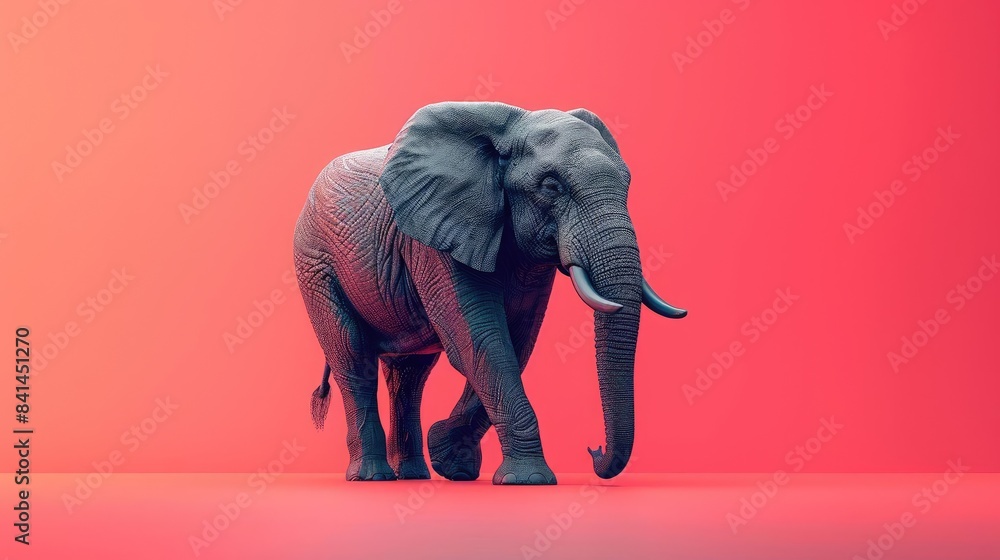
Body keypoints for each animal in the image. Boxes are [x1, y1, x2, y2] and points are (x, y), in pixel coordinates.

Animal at [293, 101, 686, 485]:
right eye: (551, 186)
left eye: (627, 183)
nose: (593, 451)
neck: (509, 130)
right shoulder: (433, 240)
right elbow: (480, 339)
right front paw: (526, 479)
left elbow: (517, 339)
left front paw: (454, 462)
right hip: (315, 267)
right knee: (353, 358)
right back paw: (372, 476)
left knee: (409, 375)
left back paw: (414, 475)